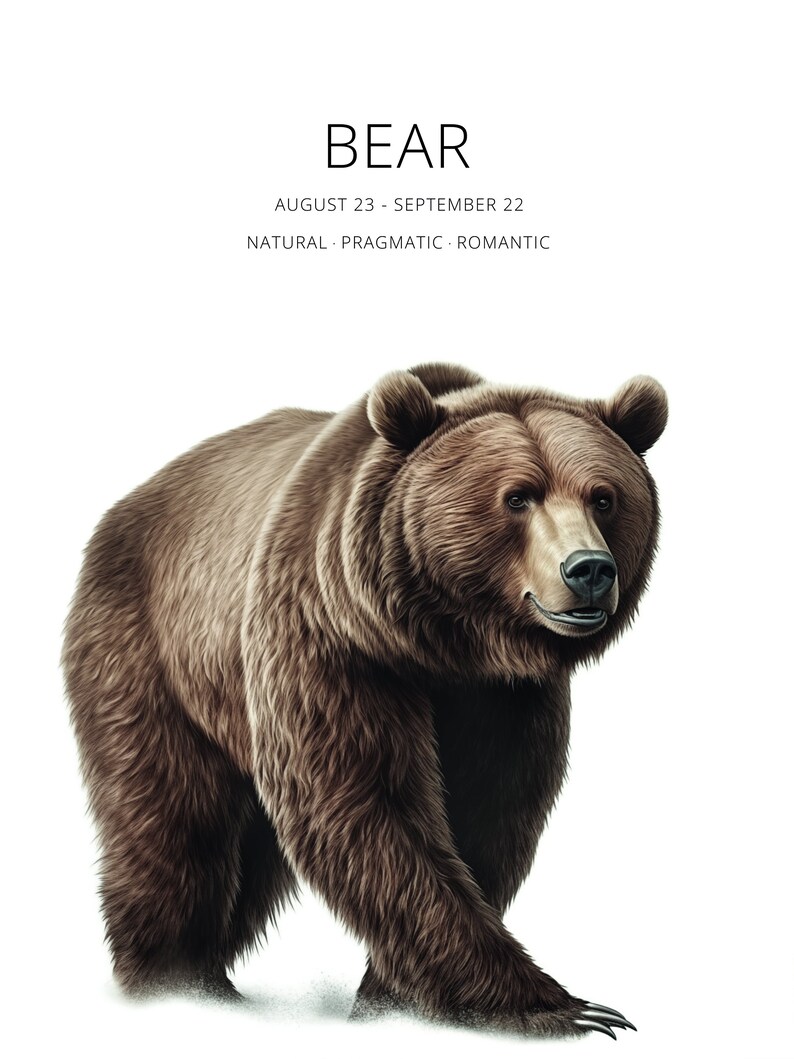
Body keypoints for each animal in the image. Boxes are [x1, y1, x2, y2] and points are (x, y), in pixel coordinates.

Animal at [63, 363, 667, 1039]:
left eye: (603, 496)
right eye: (518, 496)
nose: (589, 569)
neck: (447, 640)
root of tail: (137, 497)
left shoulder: (504, 697)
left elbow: (489, 812)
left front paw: (392, 998)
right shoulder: (332, 639)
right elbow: (370, 809)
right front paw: (563, 1007)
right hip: (151, 648)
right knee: (171, 822)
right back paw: (176, 981)